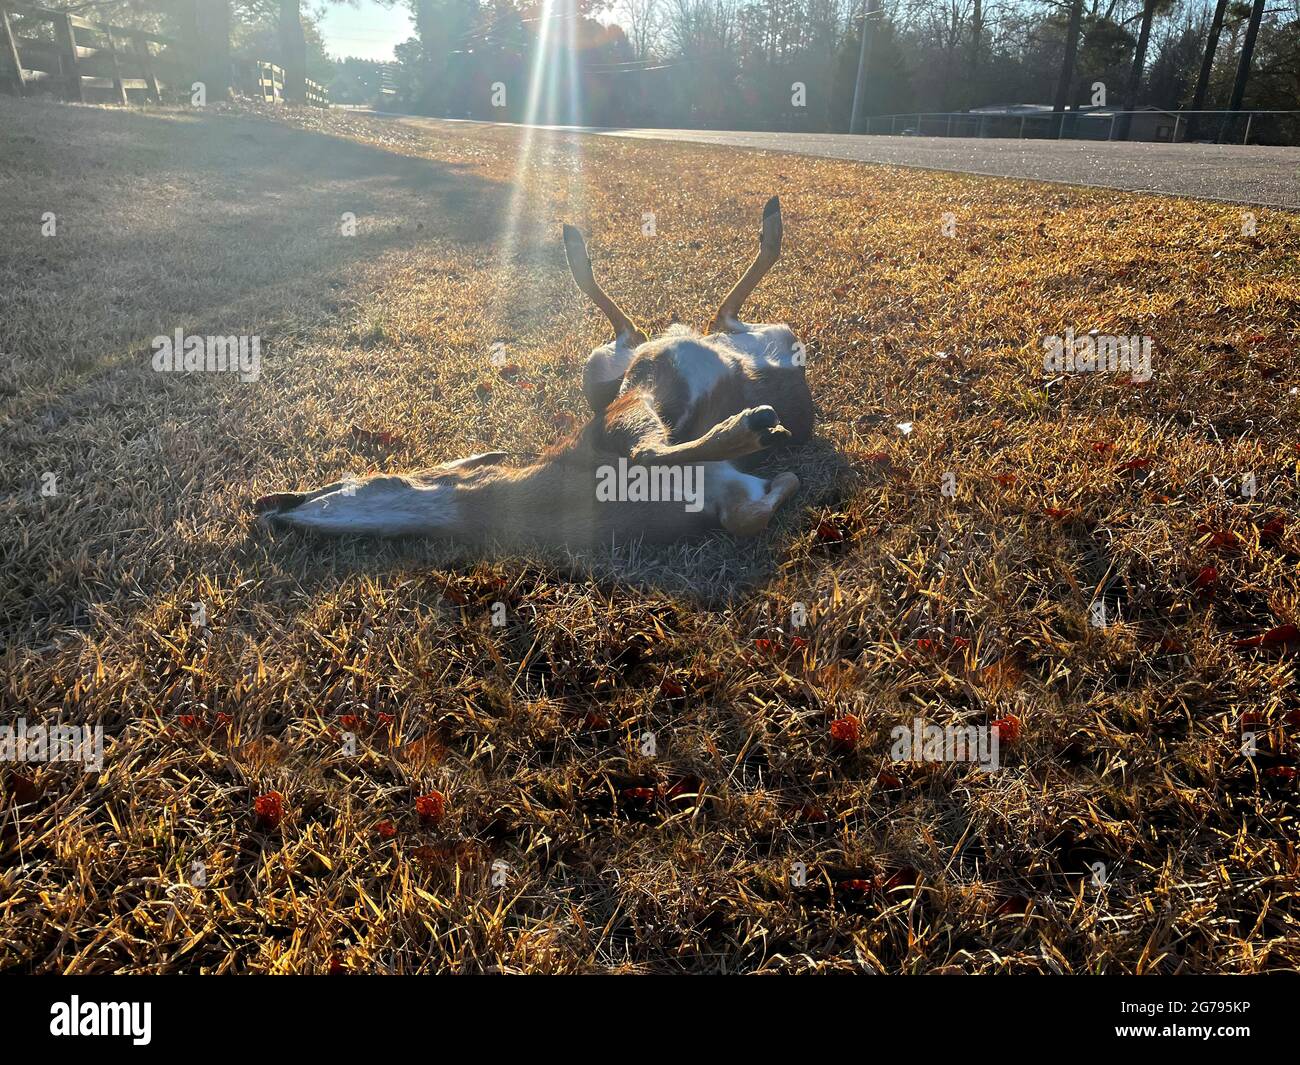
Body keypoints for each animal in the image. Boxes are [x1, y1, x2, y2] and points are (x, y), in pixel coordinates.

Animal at [254, 196, 813, 547]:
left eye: (345, 480)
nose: (272, 508)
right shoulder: (726, 493)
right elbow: (746, 512)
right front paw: (772, 457)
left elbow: (650, 454)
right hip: (619, 369)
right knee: (693, 326)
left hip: (618, 377)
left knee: (661, 345)